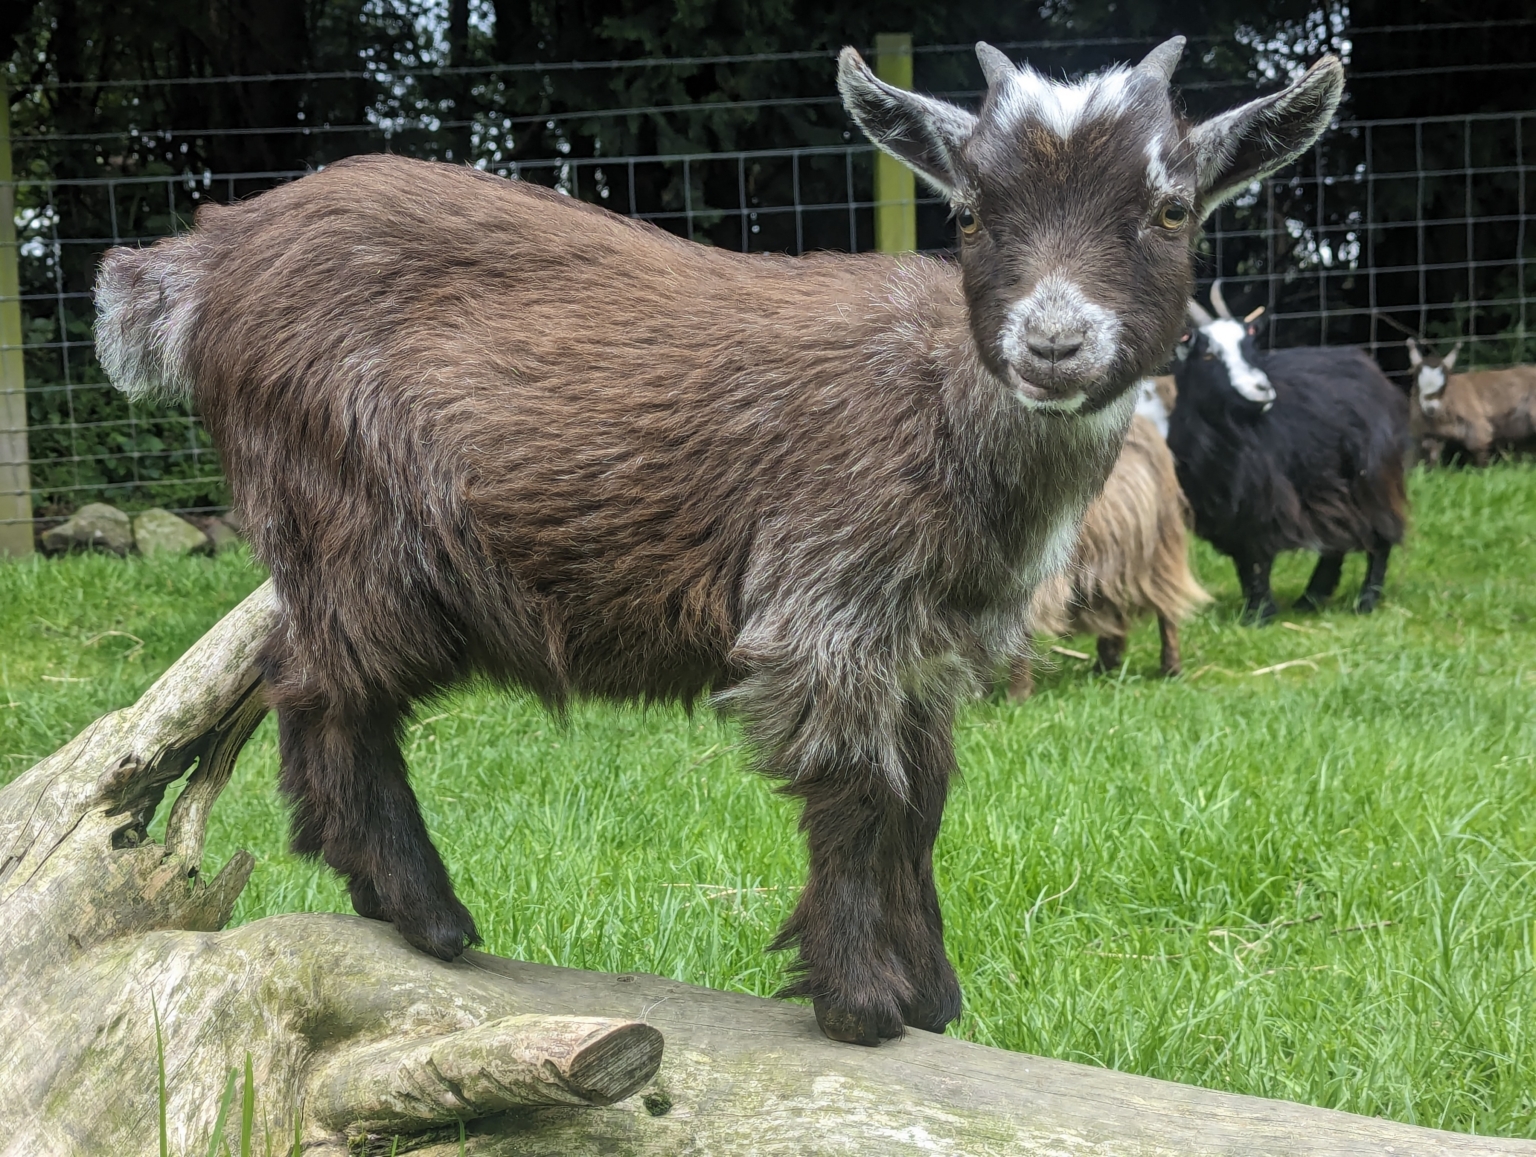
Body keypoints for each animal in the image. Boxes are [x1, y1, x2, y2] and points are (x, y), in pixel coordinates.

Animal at [1167, 285, 1407, 624]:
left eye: (1251, 345)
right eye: (1208, 352)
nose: (1262, 389)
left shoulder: (1265, 500)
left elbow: (1257, 556)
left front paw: (1259, 615)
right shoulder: (1225, 510)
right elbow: (1244, 559)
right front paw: (1255, 609)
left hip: (1373, 477)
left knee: (1380, 533)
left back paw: (1365, 601)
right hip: (1329, 484)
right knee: (1338, 535)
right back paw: (1311, 598)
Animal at [1406, 339, 1536, 466]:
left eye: (1444, 386)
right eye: (1417, 384)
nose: (1430, 408)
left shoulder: (1477, 426)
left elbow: (1479, 449)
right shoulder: (1431, 435)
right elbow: (1432, 456)